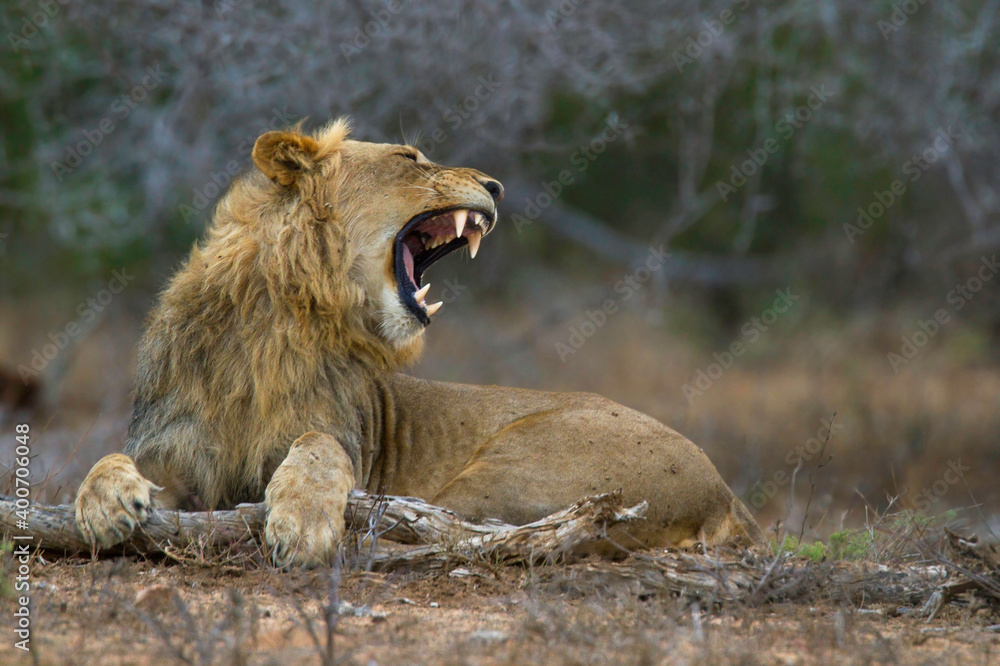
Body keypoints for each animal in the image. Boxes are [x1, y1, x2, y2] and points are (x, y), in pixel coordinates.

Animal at [74, 118, 764, 567]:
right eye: (410, 158)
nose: (498, 187)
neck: (279, 321)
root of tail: (728, 492)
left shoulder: (344, 440)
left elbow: (318, 446)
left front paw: (301, 521)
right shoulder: (174, 443)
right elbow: (111, 456)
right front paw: (104, 503)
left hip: (513, 470)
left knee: (449, 531)